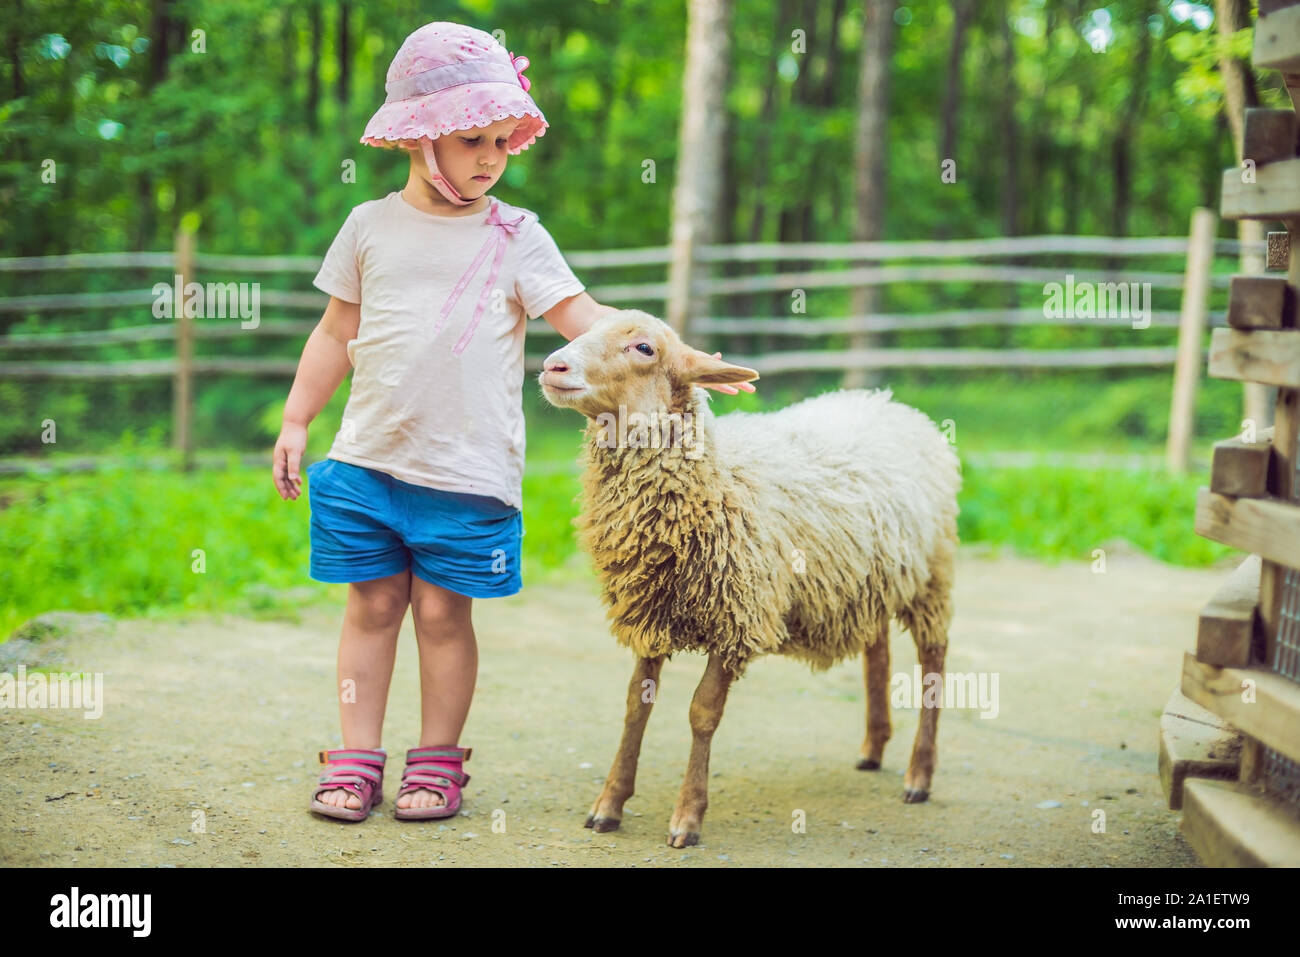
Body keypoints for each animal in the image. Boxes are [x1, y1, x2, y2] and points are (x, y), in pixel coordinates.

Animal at [539, 309, 962, 848]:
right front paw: (609, 804)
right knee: (878, 650)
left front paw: (687, 817)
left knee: (933, 661)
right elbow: (636, 705)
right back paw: (873, 747)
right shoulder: (652, 610)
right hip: (866, 580)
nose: (553, 366)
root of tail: (890, 403)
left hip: (932, 574)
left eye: (644, 348)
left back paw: (919, 775)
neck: (713, 479)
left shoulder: (739, 615)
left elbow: (701, 713)